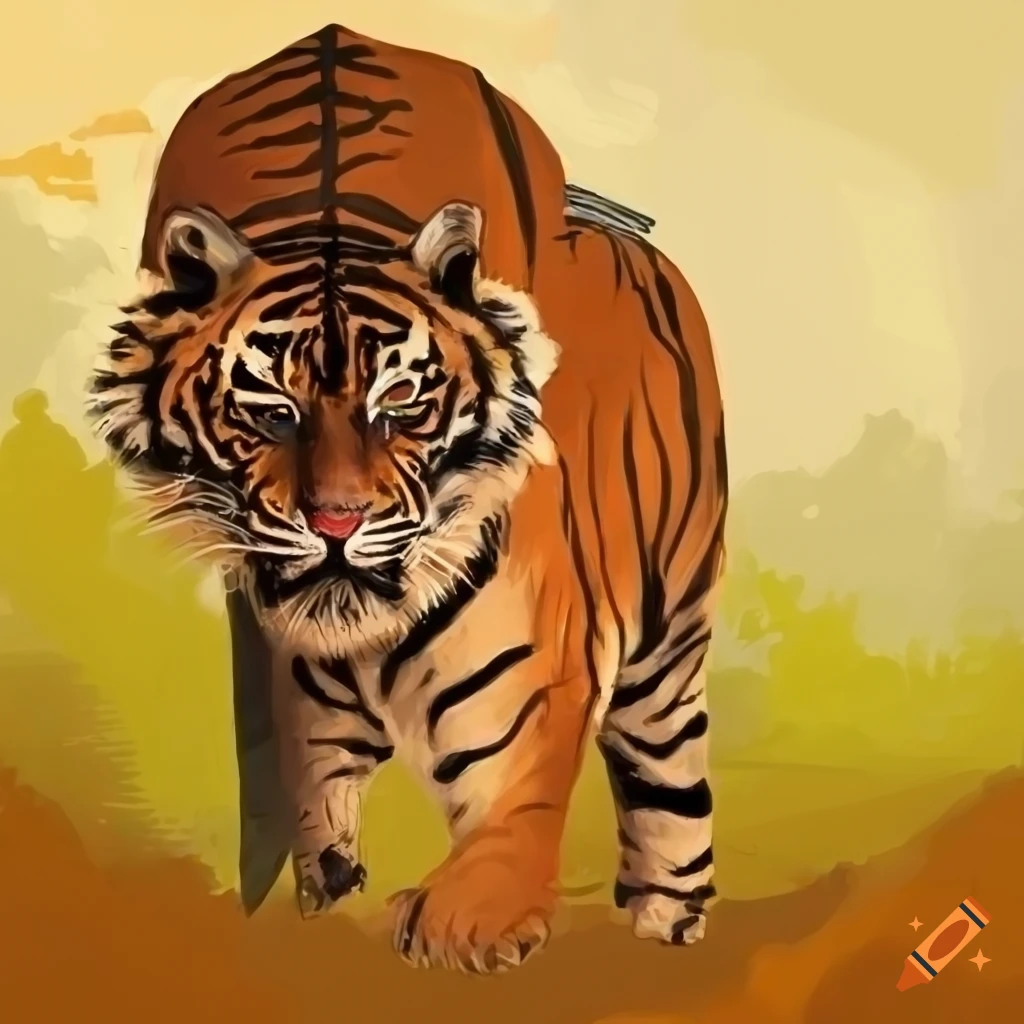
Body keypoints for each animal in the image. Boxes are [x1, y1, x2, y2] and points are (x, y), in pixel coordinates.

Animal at [87, 22, 728, 974]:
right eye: (270, 412)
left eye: (400, 404)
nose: (335, 523)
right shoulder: (303, 719)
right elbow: (319, 844)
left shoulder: (529, 698)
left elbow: (502, 836)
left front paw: (459, 927)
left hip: (669, 648)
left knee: (671, 786)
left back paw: (669, 923)